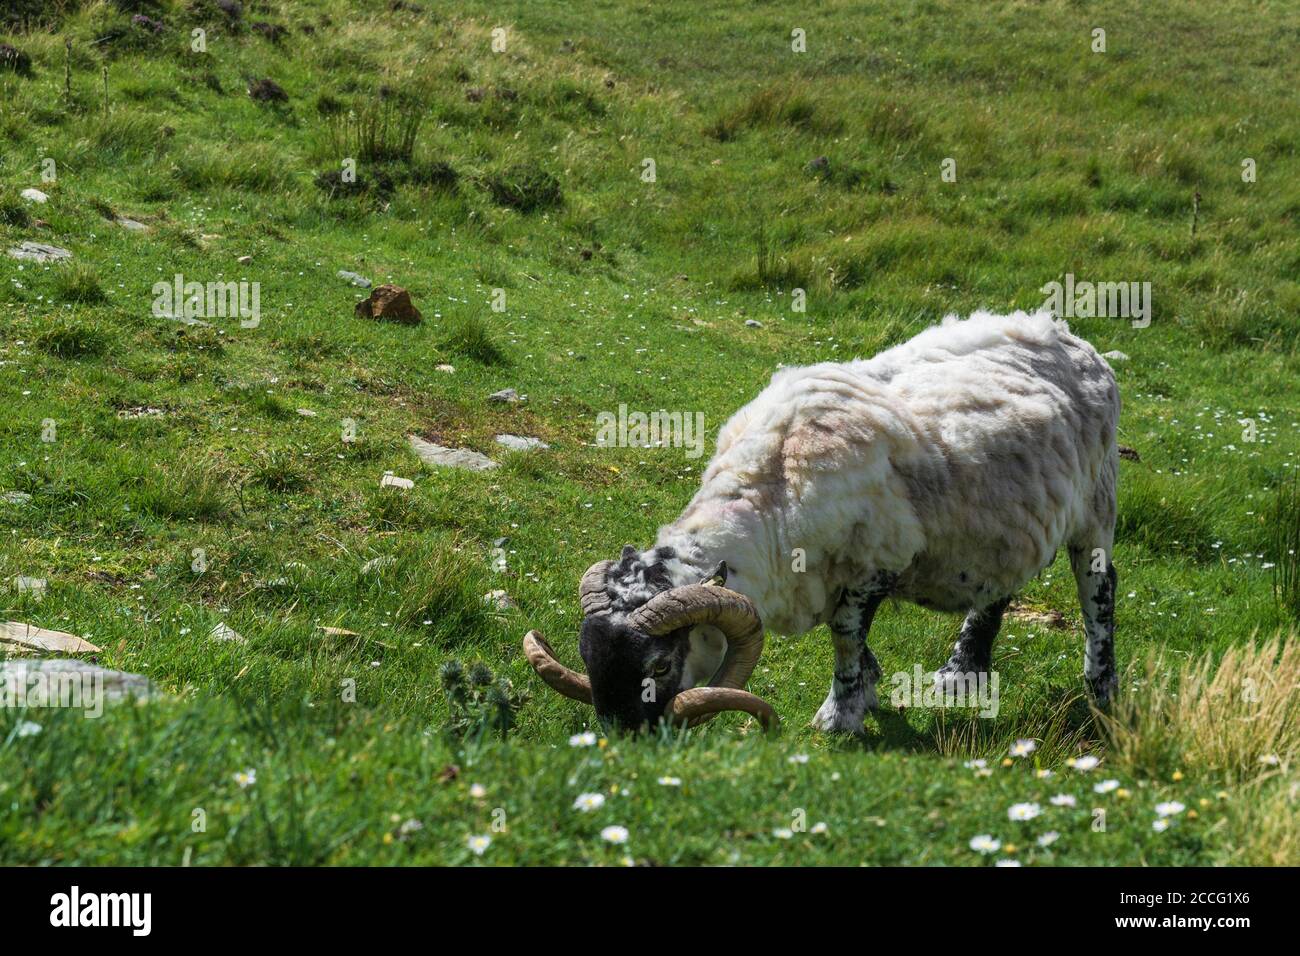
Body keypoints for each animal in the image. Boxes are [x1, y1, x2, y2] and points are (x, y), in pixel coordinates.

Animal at [525, 309, 1121, 733]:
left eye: (659, 668)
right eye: (588, 657)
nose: (626, 740)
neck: (771, 487)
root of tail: (1071, 337)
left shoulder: (874, 564)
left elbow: (845, 636)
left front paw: (840, 715)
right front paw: (871, 688)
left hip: (1097, 503)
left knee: (1100, 590)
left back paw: (1102, 690)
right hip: (1003, 525)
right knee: (998, 585)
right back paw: (961, 674)